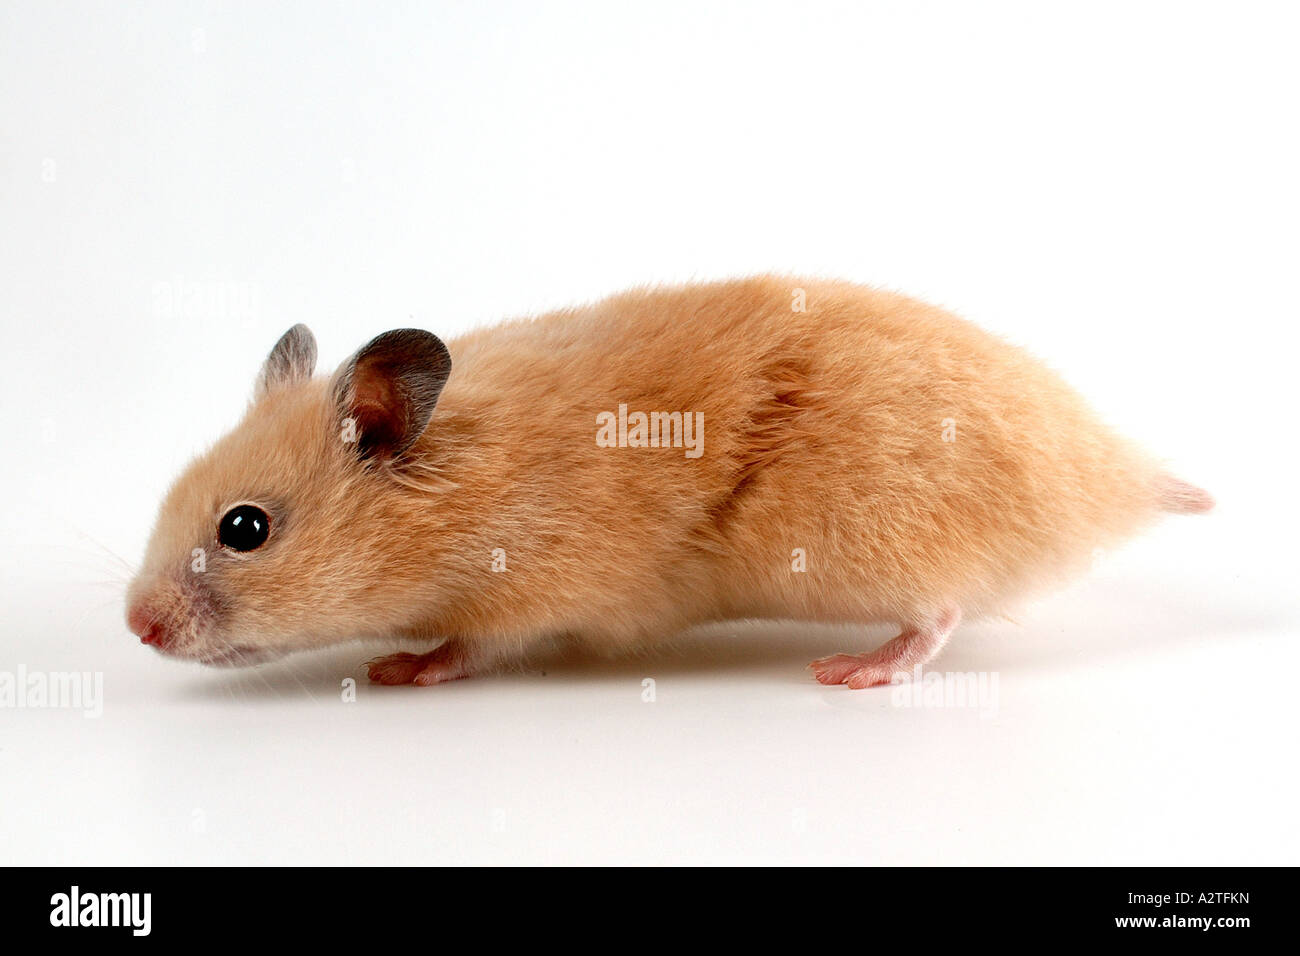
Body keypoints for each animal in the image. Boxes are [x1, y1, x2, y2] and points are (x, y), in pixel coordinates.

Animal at [125, 276, 1212, 688]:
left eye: (245, 528)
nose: (136, 628)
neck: (464, 479)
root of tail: (1116, 473)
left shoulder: (527, 598)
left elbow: (466, 648)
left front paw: (396, 668)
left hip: (893, 546)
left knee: (939, 615)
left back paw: (854, 671)